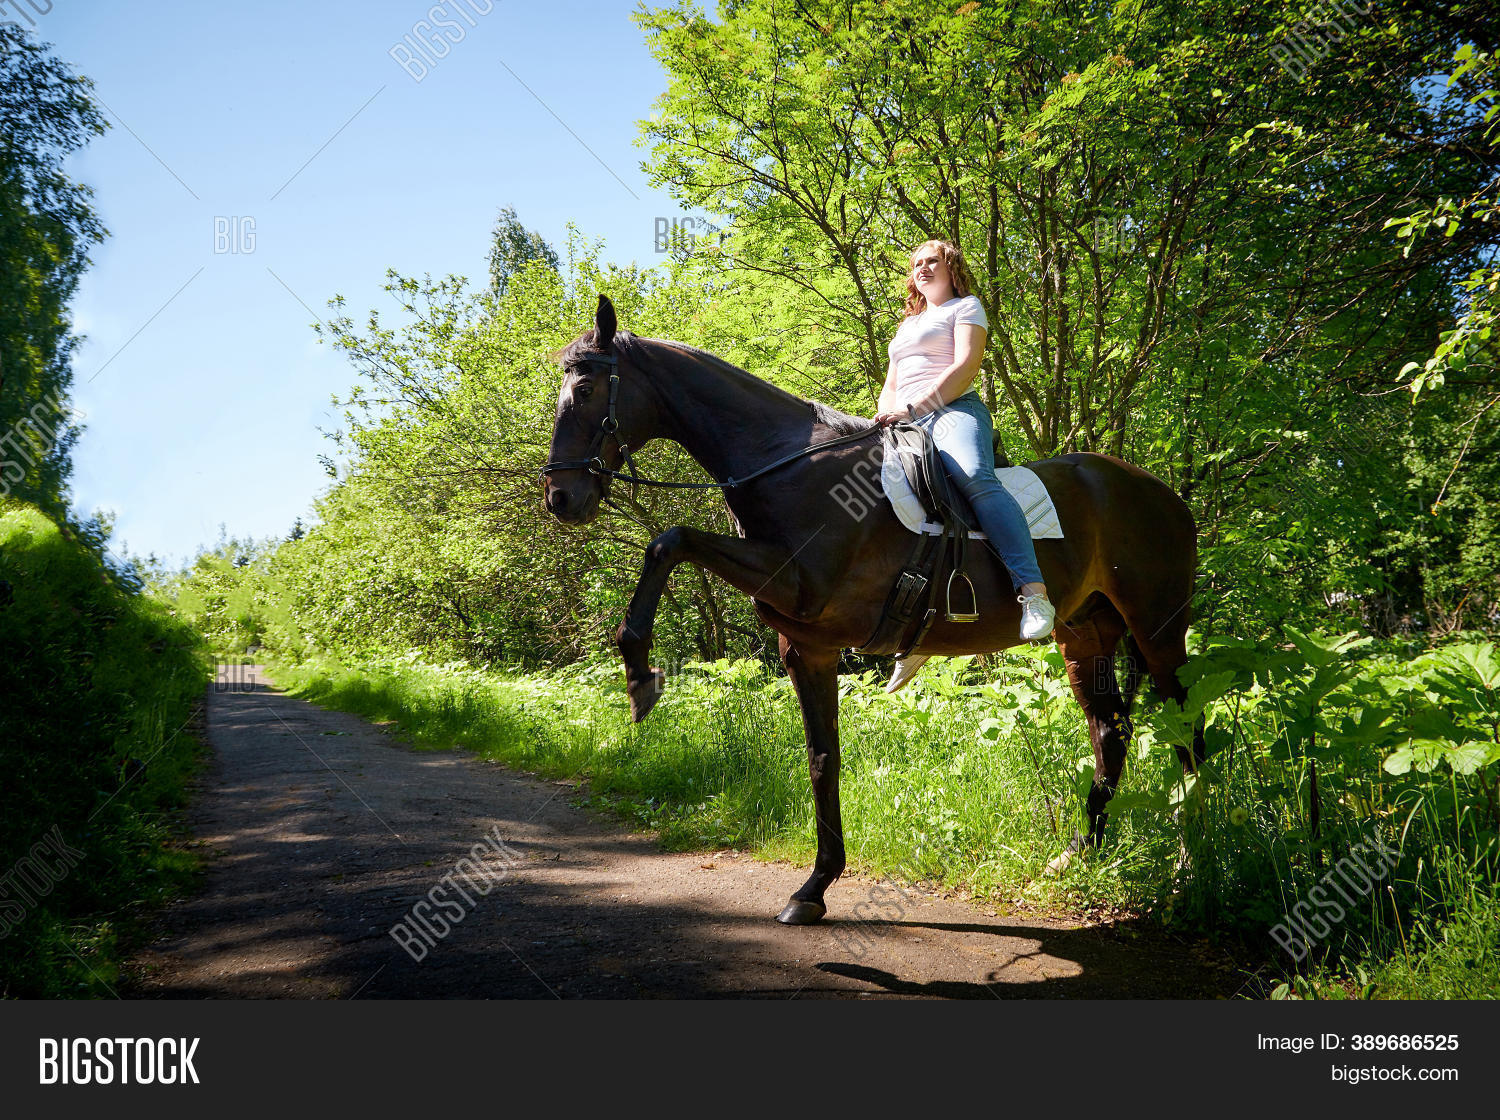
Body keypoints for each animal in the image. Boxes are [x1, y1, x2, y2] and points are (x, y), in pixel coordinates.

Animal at [542, 295, 1204, 925]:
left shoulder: (801, 585)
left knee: (1187, 733)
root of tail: (1161, 493)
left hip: (1159, 631)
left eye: (586, 389)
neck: (787, 464)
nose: (560, 498)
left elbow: (670, 539)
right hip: (1085, 636)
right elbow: (822, 759)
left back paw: (1186, 869)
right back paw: (1077, 855)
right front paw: (814, 888)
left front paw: (638, 672)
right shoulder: (808, 645)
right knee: (1109, 733)